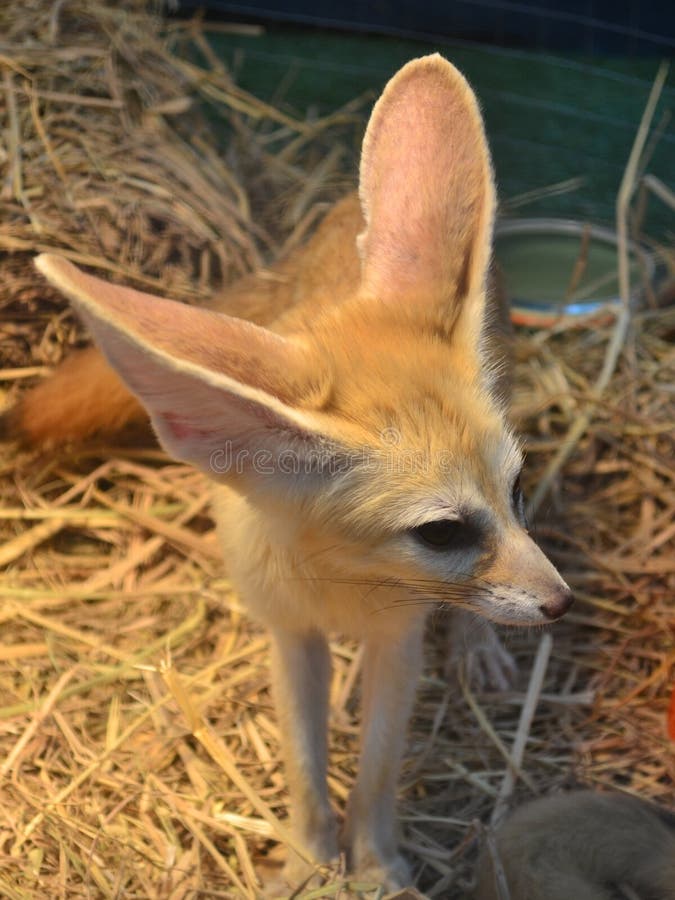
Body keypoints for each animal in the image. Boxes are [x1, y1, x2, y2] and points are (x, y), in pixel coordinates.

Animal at [4, 55, 573, 890]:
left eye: (518, 489)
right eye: (440, 533)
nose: (562, 603)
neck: (343, 581)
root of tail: (337, 207)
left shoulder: (398, 639)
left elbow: (375, 772)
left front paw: (376, 869)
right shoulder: (289, 635)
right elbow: (306, 767)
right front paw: (310, 862)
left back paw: (478, 647)